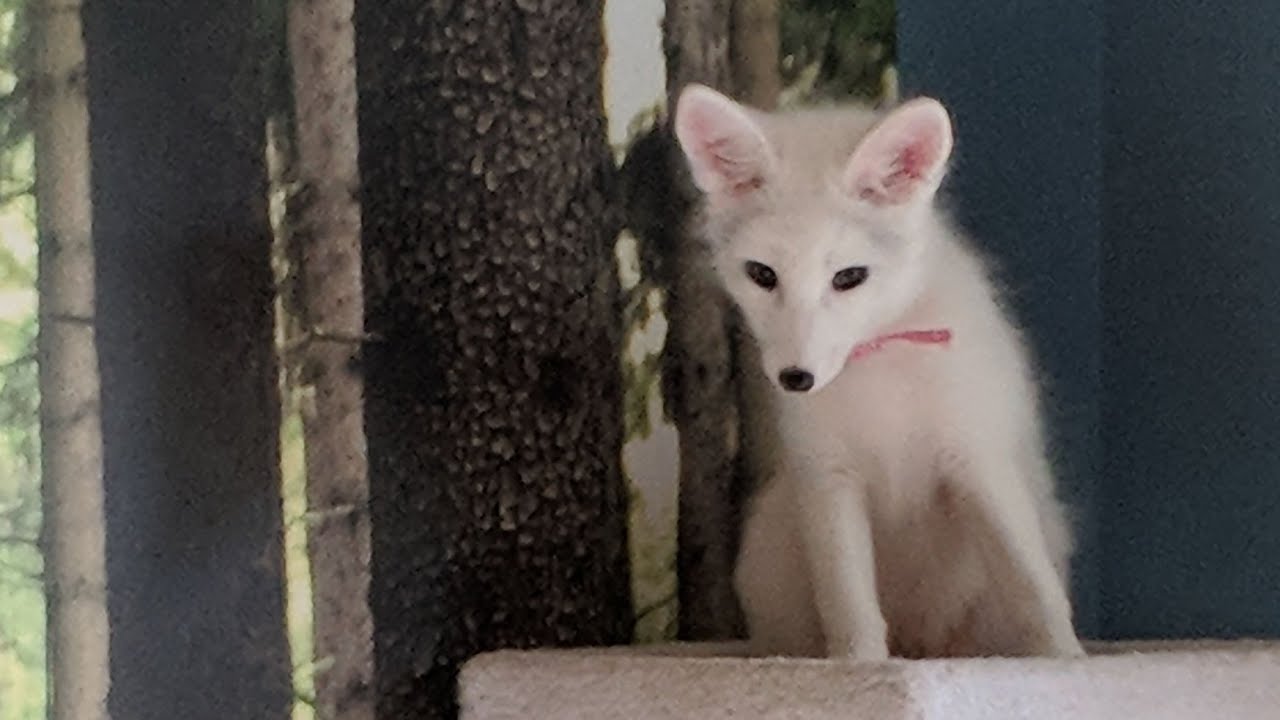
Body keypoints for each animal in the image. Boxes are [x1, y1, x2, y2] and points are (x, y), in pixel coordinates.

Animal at [671, 84, 1085, 661]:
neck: (879, 368)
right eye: (761, 275)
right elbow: (849, 601)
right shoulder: (828, 475)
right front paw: (859, 666)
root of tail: (923, 641)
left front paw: (1066, 661)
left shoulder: (976, 460)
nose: (796, 378)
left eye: (849, 277)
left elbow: (1032, 586)